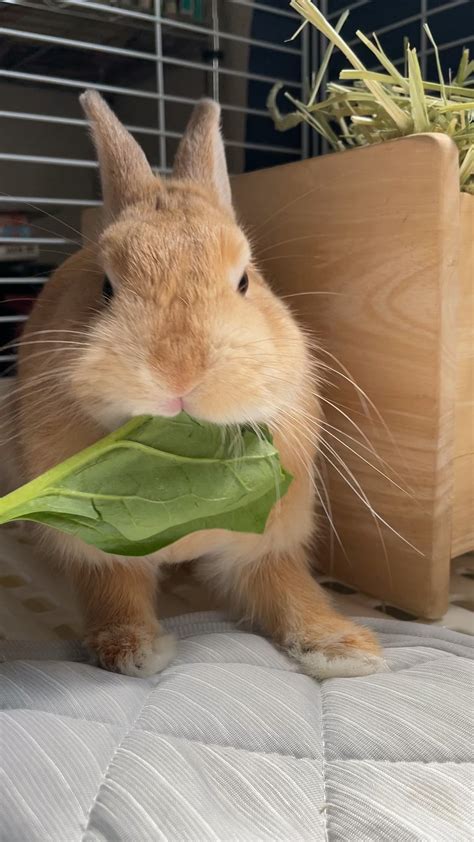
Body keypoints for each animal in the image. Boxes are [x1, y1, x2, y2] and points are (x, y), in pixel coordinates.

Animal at [15, 90, 384, 679]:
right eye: (104, 286)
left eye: (246, 280)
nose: (178, 371)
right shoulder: (98, 551)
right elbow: (112, 589)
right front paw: (132, 651)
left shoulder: (264, 545)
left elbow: (289, 589)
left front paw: (346, 651)